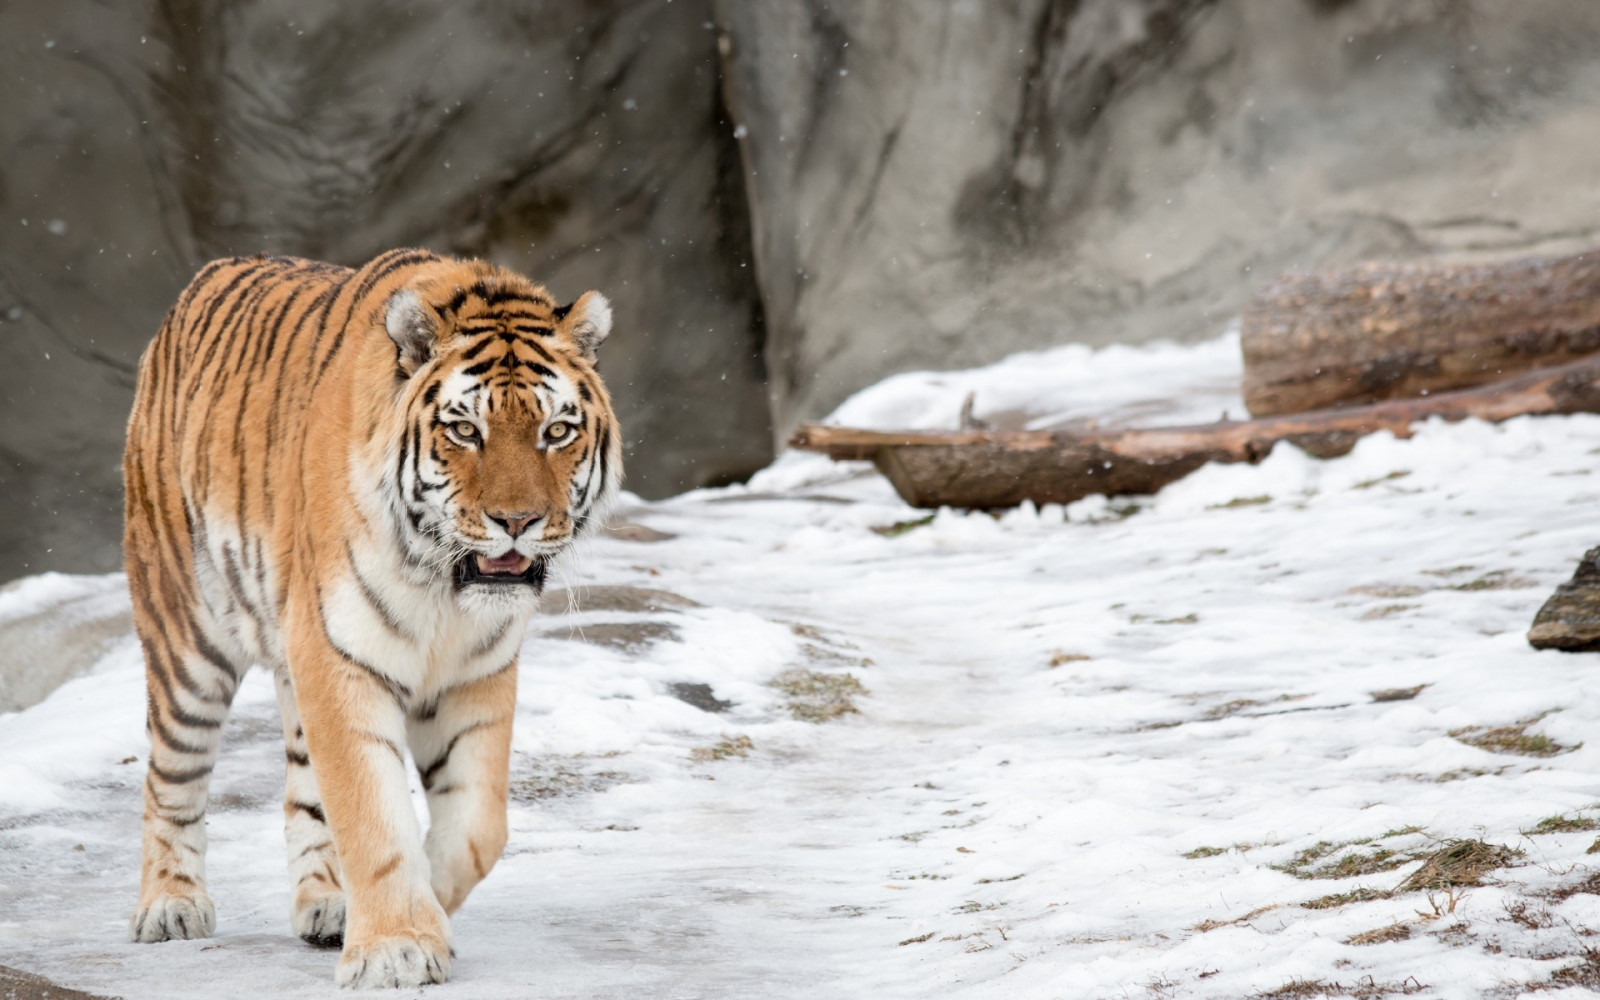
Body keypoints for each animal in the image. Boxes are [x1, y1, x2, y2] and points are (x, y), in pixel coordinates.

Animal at [122, 248, 622, 988]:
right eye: (464, 430)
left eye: (556, 431)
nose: (517, 522)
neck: (444, 589)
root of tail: (201, 279)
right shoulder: (341, 659)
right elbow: (373, 816)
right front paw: (397, 947)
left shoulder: (476, 673)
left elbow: (478, 825)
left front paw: (421, 906)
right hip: (187, 637)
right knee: (171, 777)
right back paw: (170, 906)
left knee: (302, 793)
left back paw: (327, 904)